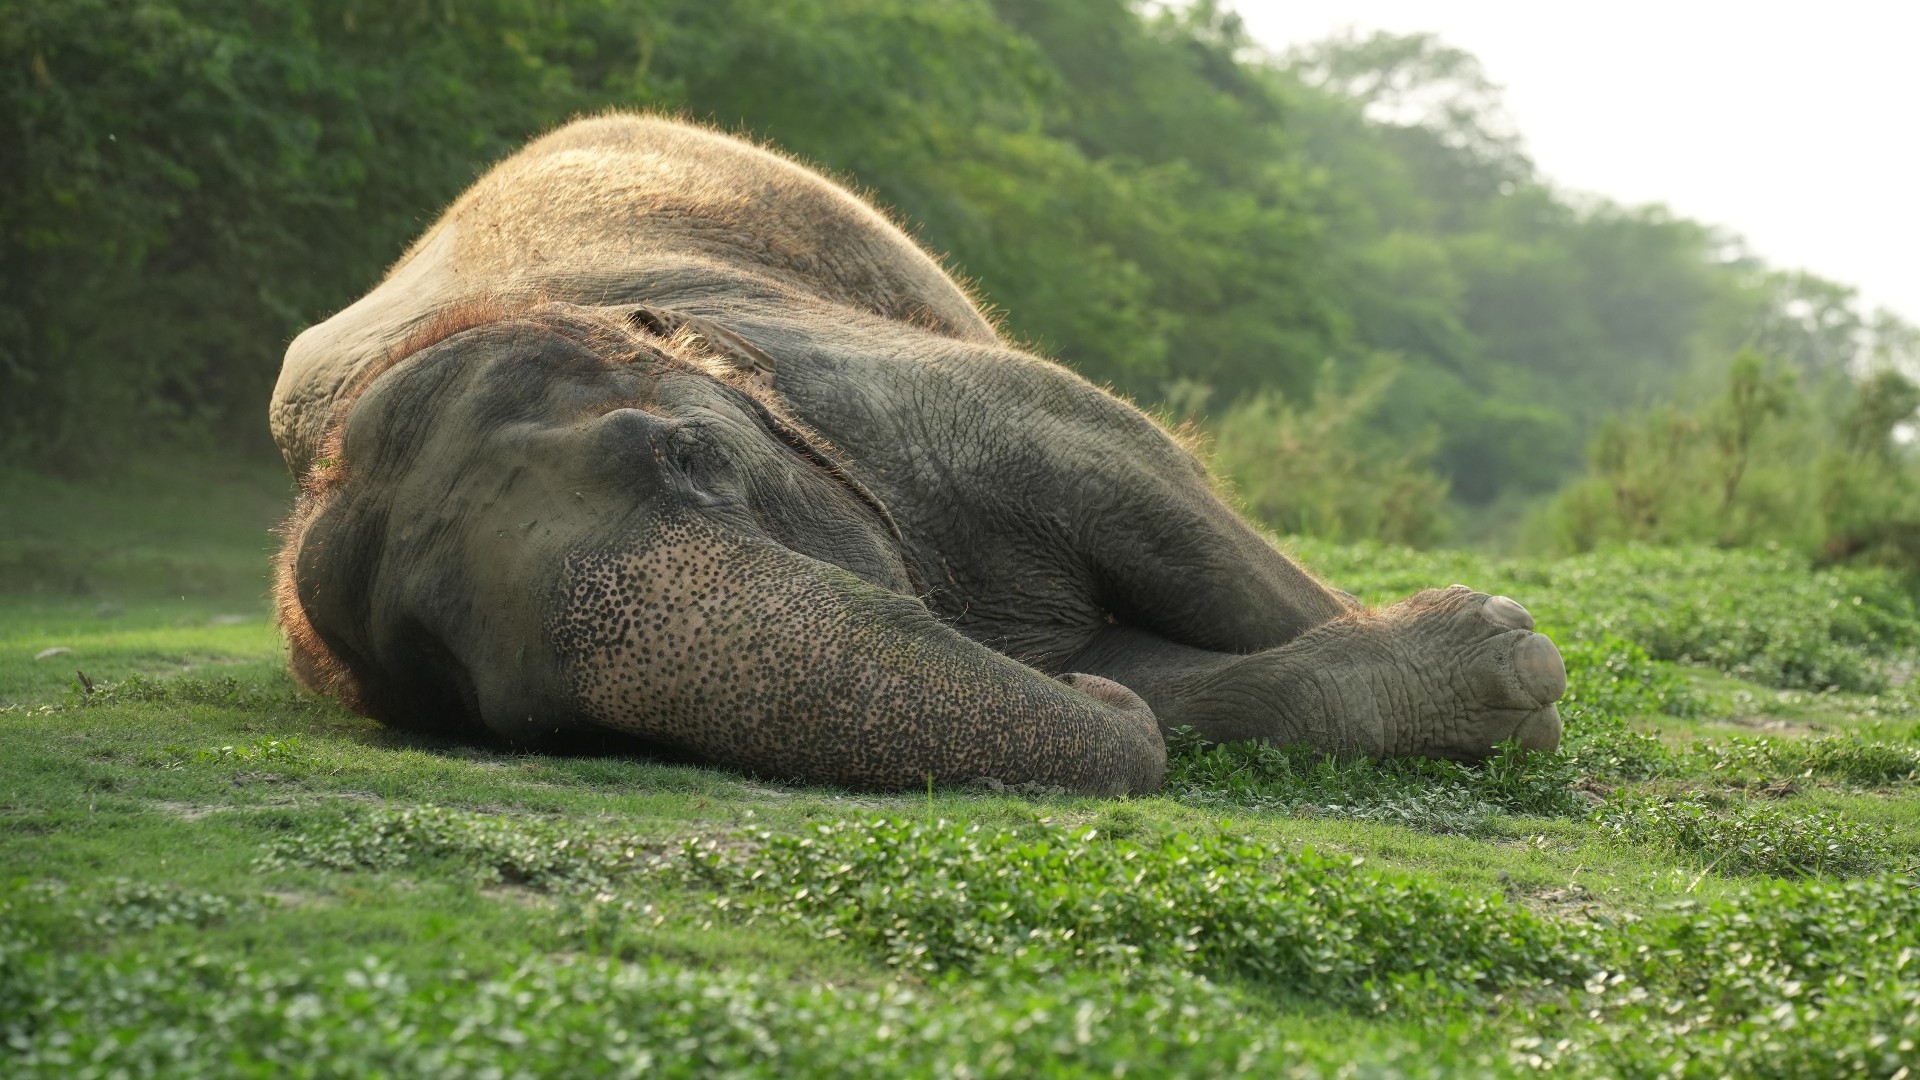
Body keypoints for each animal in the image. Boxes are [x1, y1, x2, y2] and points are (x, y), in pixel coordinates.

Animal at [270, 114, 1565, 796]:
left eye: (694, 457)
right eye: (517, 712)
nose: (1081, 692)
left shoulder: (904, 394)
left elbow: (1168, 519)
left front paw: (1519, 665)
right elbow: (1150, 671)